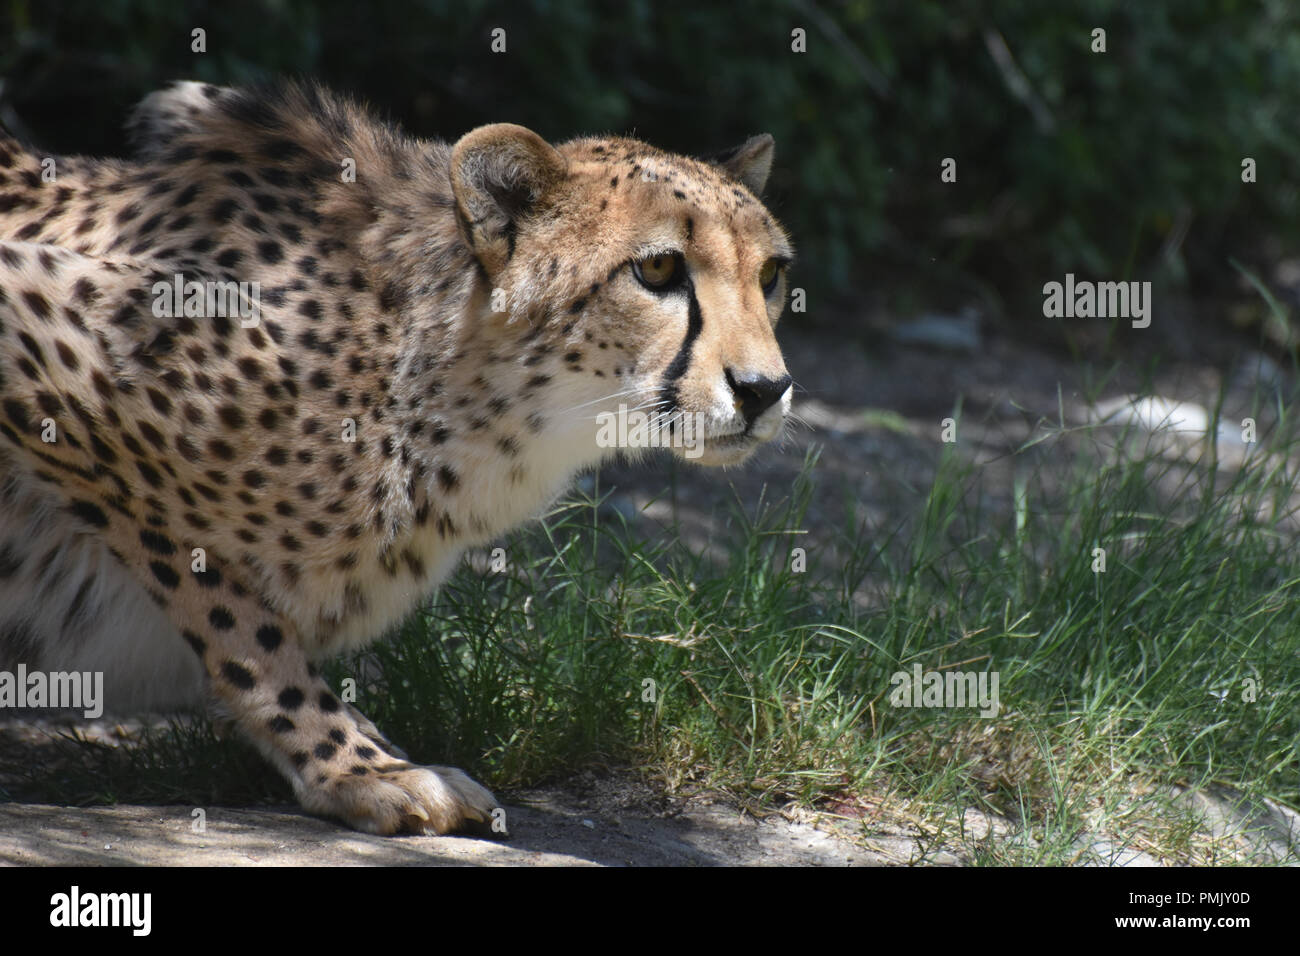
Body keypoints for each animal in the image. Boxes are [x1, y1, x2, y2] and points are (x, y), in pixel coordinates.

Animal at [0, 80, 794, 835]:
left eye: (771, 275)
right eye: (657, 269)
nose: (765, 390)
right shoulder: (43, 333)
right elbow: (238, 620)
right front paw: (355, 767)